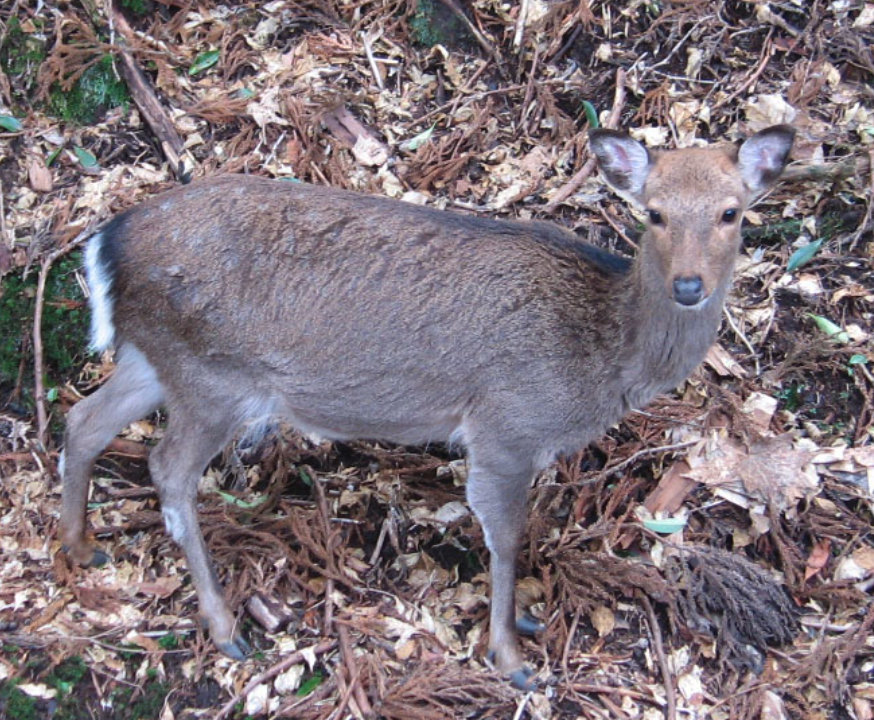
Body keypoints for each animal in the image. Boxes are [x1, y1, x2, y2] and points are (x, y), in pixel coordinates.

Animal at [59, 125, 795, 690]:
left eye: (732, 212)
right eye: (654, 212)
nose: (689, 285)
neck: (601, 364)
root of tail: (104, 244)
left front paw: (519, 627)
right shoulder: (506, 423)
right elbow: (505, 535)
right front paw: (511, 656)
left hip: (156, 358)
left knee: (82, 421)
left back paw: (80, 546)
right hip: (213, 377)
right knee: (167, 469)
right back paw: (223, 625)